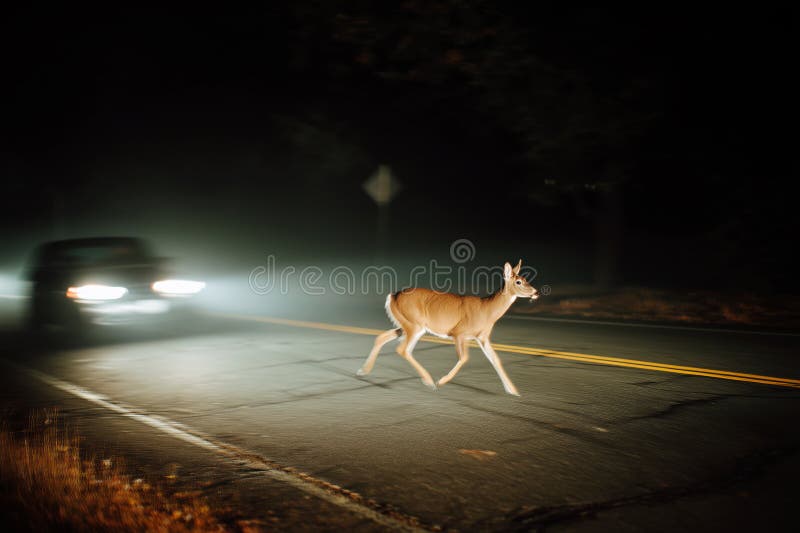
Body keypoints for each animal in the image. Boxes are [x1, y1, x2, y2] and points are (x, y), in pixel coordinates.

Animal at [357, 260, 539, 395]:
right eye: (519, 281)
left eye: (525, 279)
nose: (536, 292)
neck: (487, 310)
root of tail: (393, 295)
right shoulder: (459, 332)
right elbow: (464, 358)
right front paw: (442, 381)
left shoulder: (482, 337)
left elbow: (496, 360)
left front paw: (513, 390)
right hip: (415, 324)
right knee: (403, 349)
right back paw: (429, 381)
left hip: (405, 324)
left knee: (382, 338)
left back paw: (363, 371)